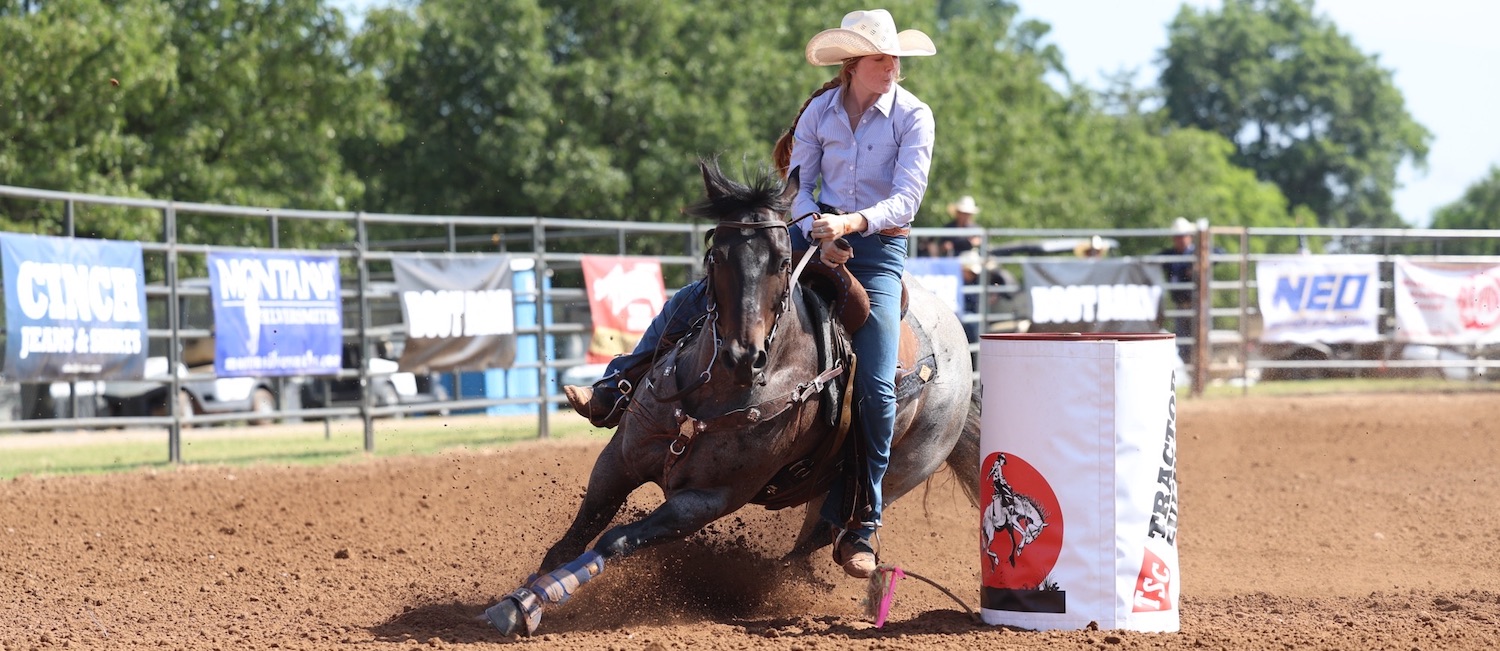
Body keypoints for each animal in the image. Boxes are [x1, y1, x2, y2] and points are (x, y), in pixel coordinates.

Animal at [483, 160, 982, 636]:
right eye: (716, 255)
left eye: (782, 261)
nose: (745, 356)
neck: (711, 394)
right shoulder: (618, 460)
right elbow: (575, 536)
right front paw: (524, 596)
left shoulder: (708, 499)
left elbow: (616, 539)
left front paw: (530, 604)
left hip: (896, 474)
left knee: (813, 544)